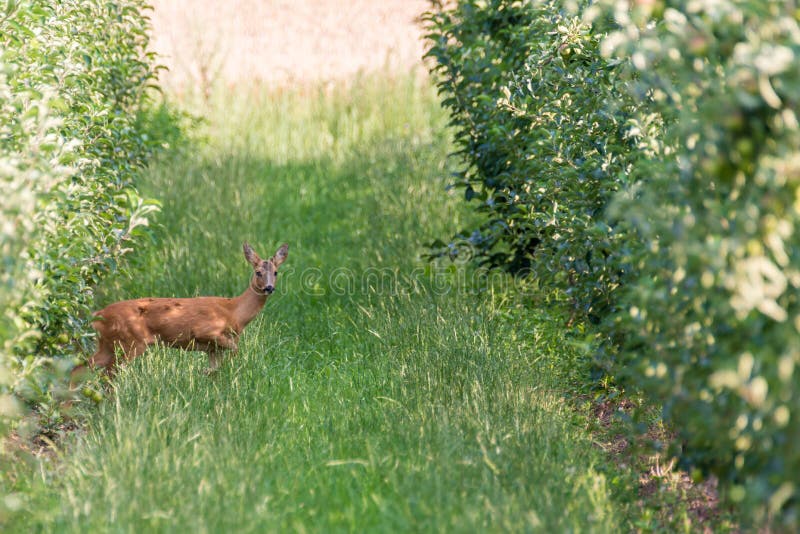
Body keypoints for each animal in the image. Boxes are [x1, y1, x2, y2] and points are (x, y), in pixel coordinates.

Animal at [71, 242, 288, 384]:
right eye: (258, 272)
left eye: (276, 272)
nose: (269, 287)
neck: (234, 312)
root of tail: (97, 316)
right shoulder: (207, 331)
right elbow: (235, 350)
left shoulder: (212, 349)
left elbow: (215, 369)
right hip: (130, 342)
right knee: (108, 373)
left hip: (108, 344)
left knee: (81, 368)